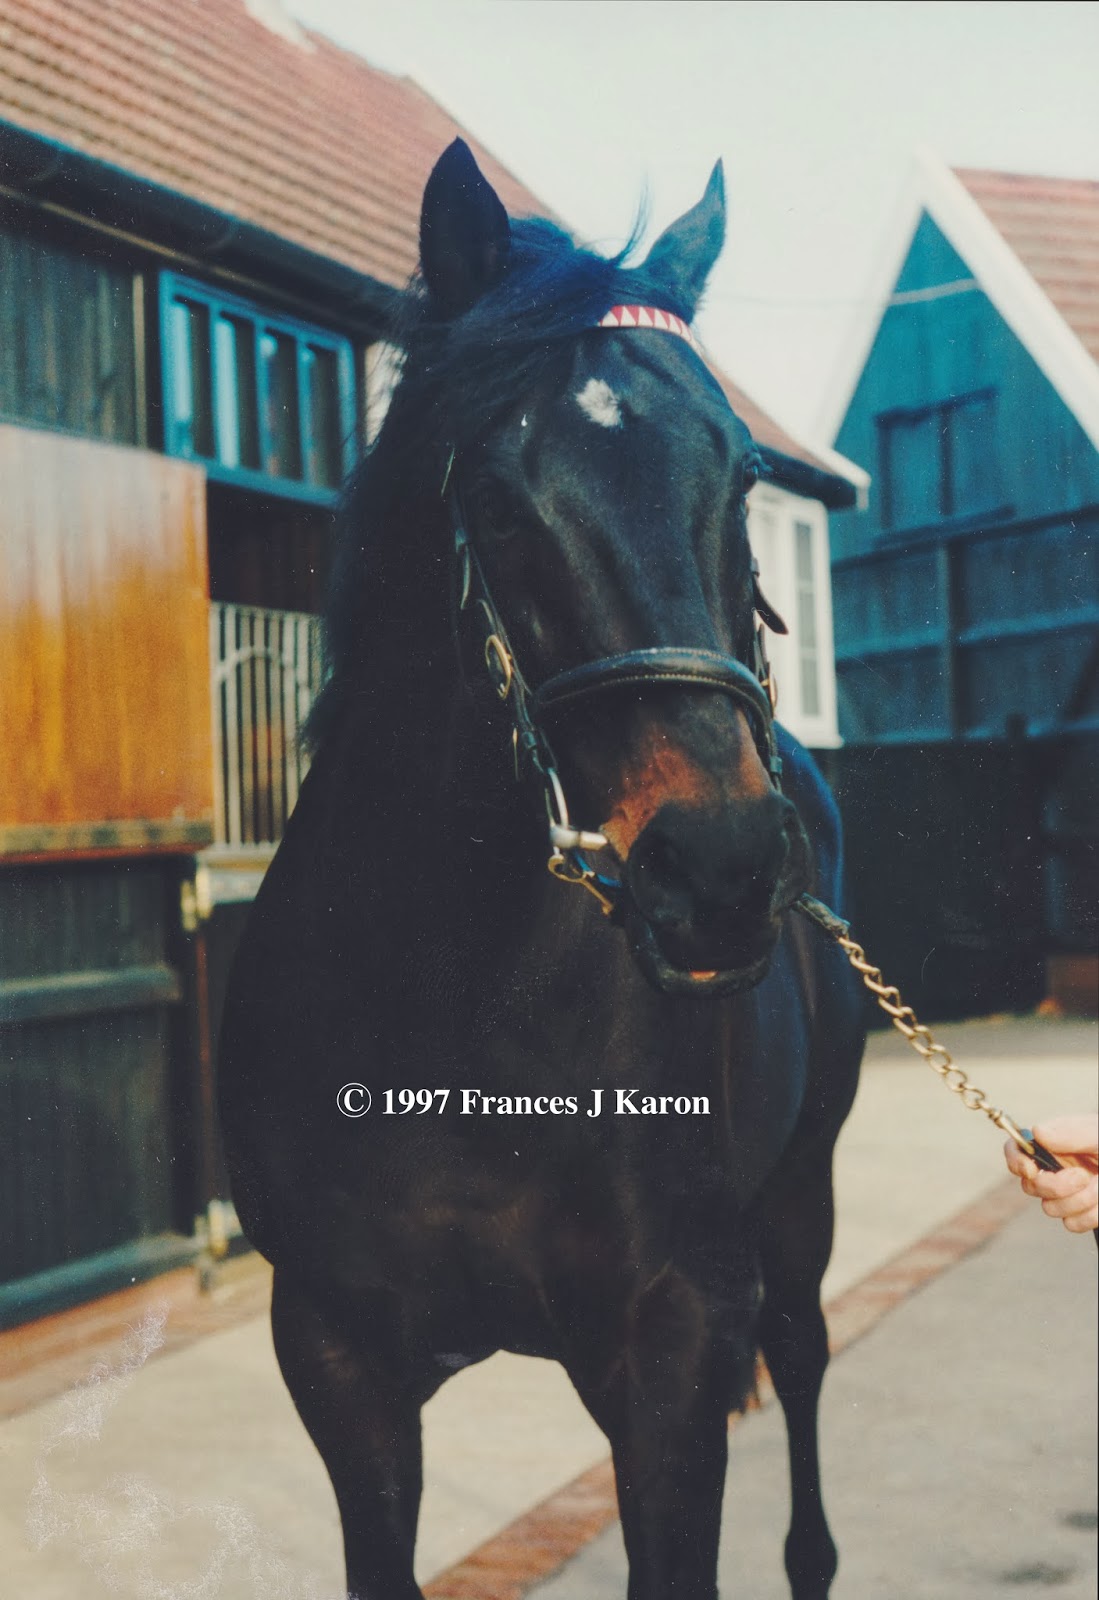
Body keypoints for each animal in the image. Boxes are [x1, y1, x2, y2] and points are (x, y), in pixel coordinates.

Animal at [218, 138, 865, 1600]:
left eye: (741, 475)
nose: (721, 870)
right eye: (501, 500)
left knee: (803, 1391)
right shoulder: (337, 1363)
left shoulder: (672, 1349)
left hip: (796, 1206)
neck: (457, 1005)